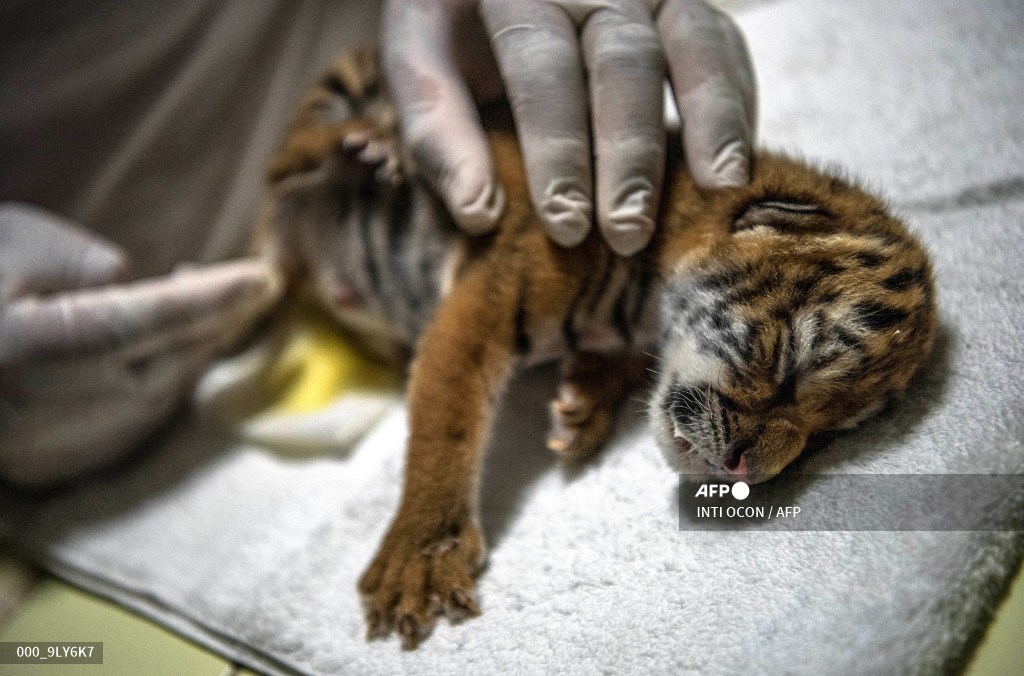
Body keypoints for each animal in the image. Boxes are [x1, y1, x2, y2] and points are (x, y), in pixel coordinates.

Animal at [256, 46, 937, 648]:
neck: (643, 301)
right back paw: (367, 143)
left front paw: (582, 410)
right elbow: (445, 426)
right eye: (788, 364)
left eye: (828, 434)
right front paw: (420, 561)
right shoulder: (482, 303)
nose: (748, 471)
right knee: (280, 164)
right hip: (346, 86)